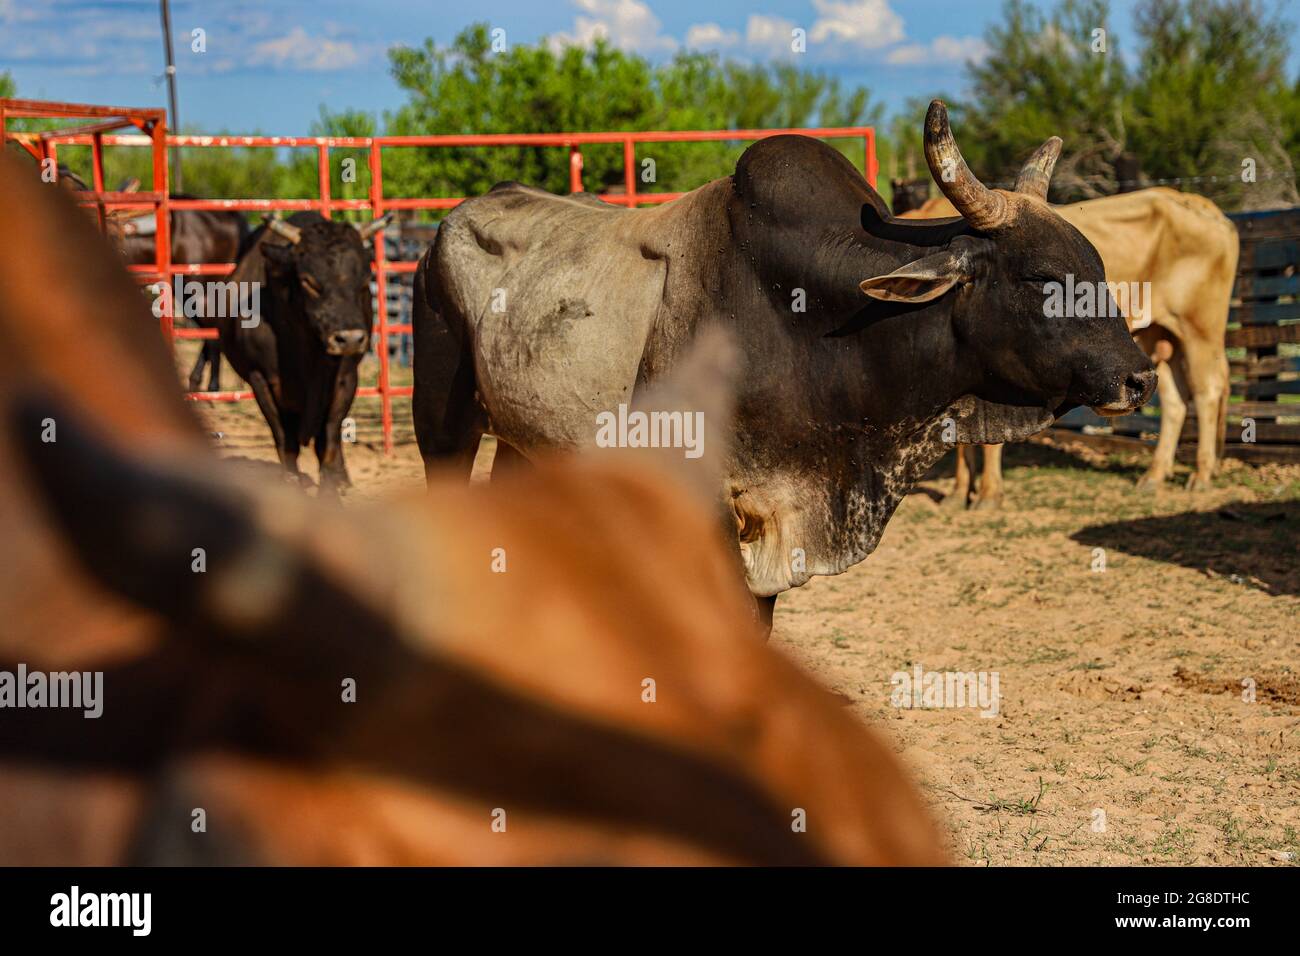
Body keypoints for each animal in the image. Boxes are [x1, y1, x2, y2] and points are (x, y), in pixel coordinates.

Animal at [218, 211, 390, 494]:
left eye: (365, 281)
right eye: (309, 281)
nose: (350, 339)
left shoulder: (345, 380)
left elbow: (329, 440)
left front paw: (330, 487)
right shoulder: (260, 379)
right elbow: (284, 439)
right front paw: (291, 482)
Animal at [412, 100, 1156, 631]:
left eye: (1096, 265)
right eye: (1041, 276)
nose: (1140, 378)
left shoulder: (777, 513)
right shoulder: (705, 499)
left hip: (525, 438)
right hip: (443, 427)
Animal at [900, 187, 1237, 505]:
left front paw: (988, 494)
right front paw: (959, 493)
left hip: (1199, 330)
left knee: (1208, 391)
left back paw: (1202, 473)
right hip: (1157, 336)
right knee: (1175, 401)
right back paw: (1155, 475)